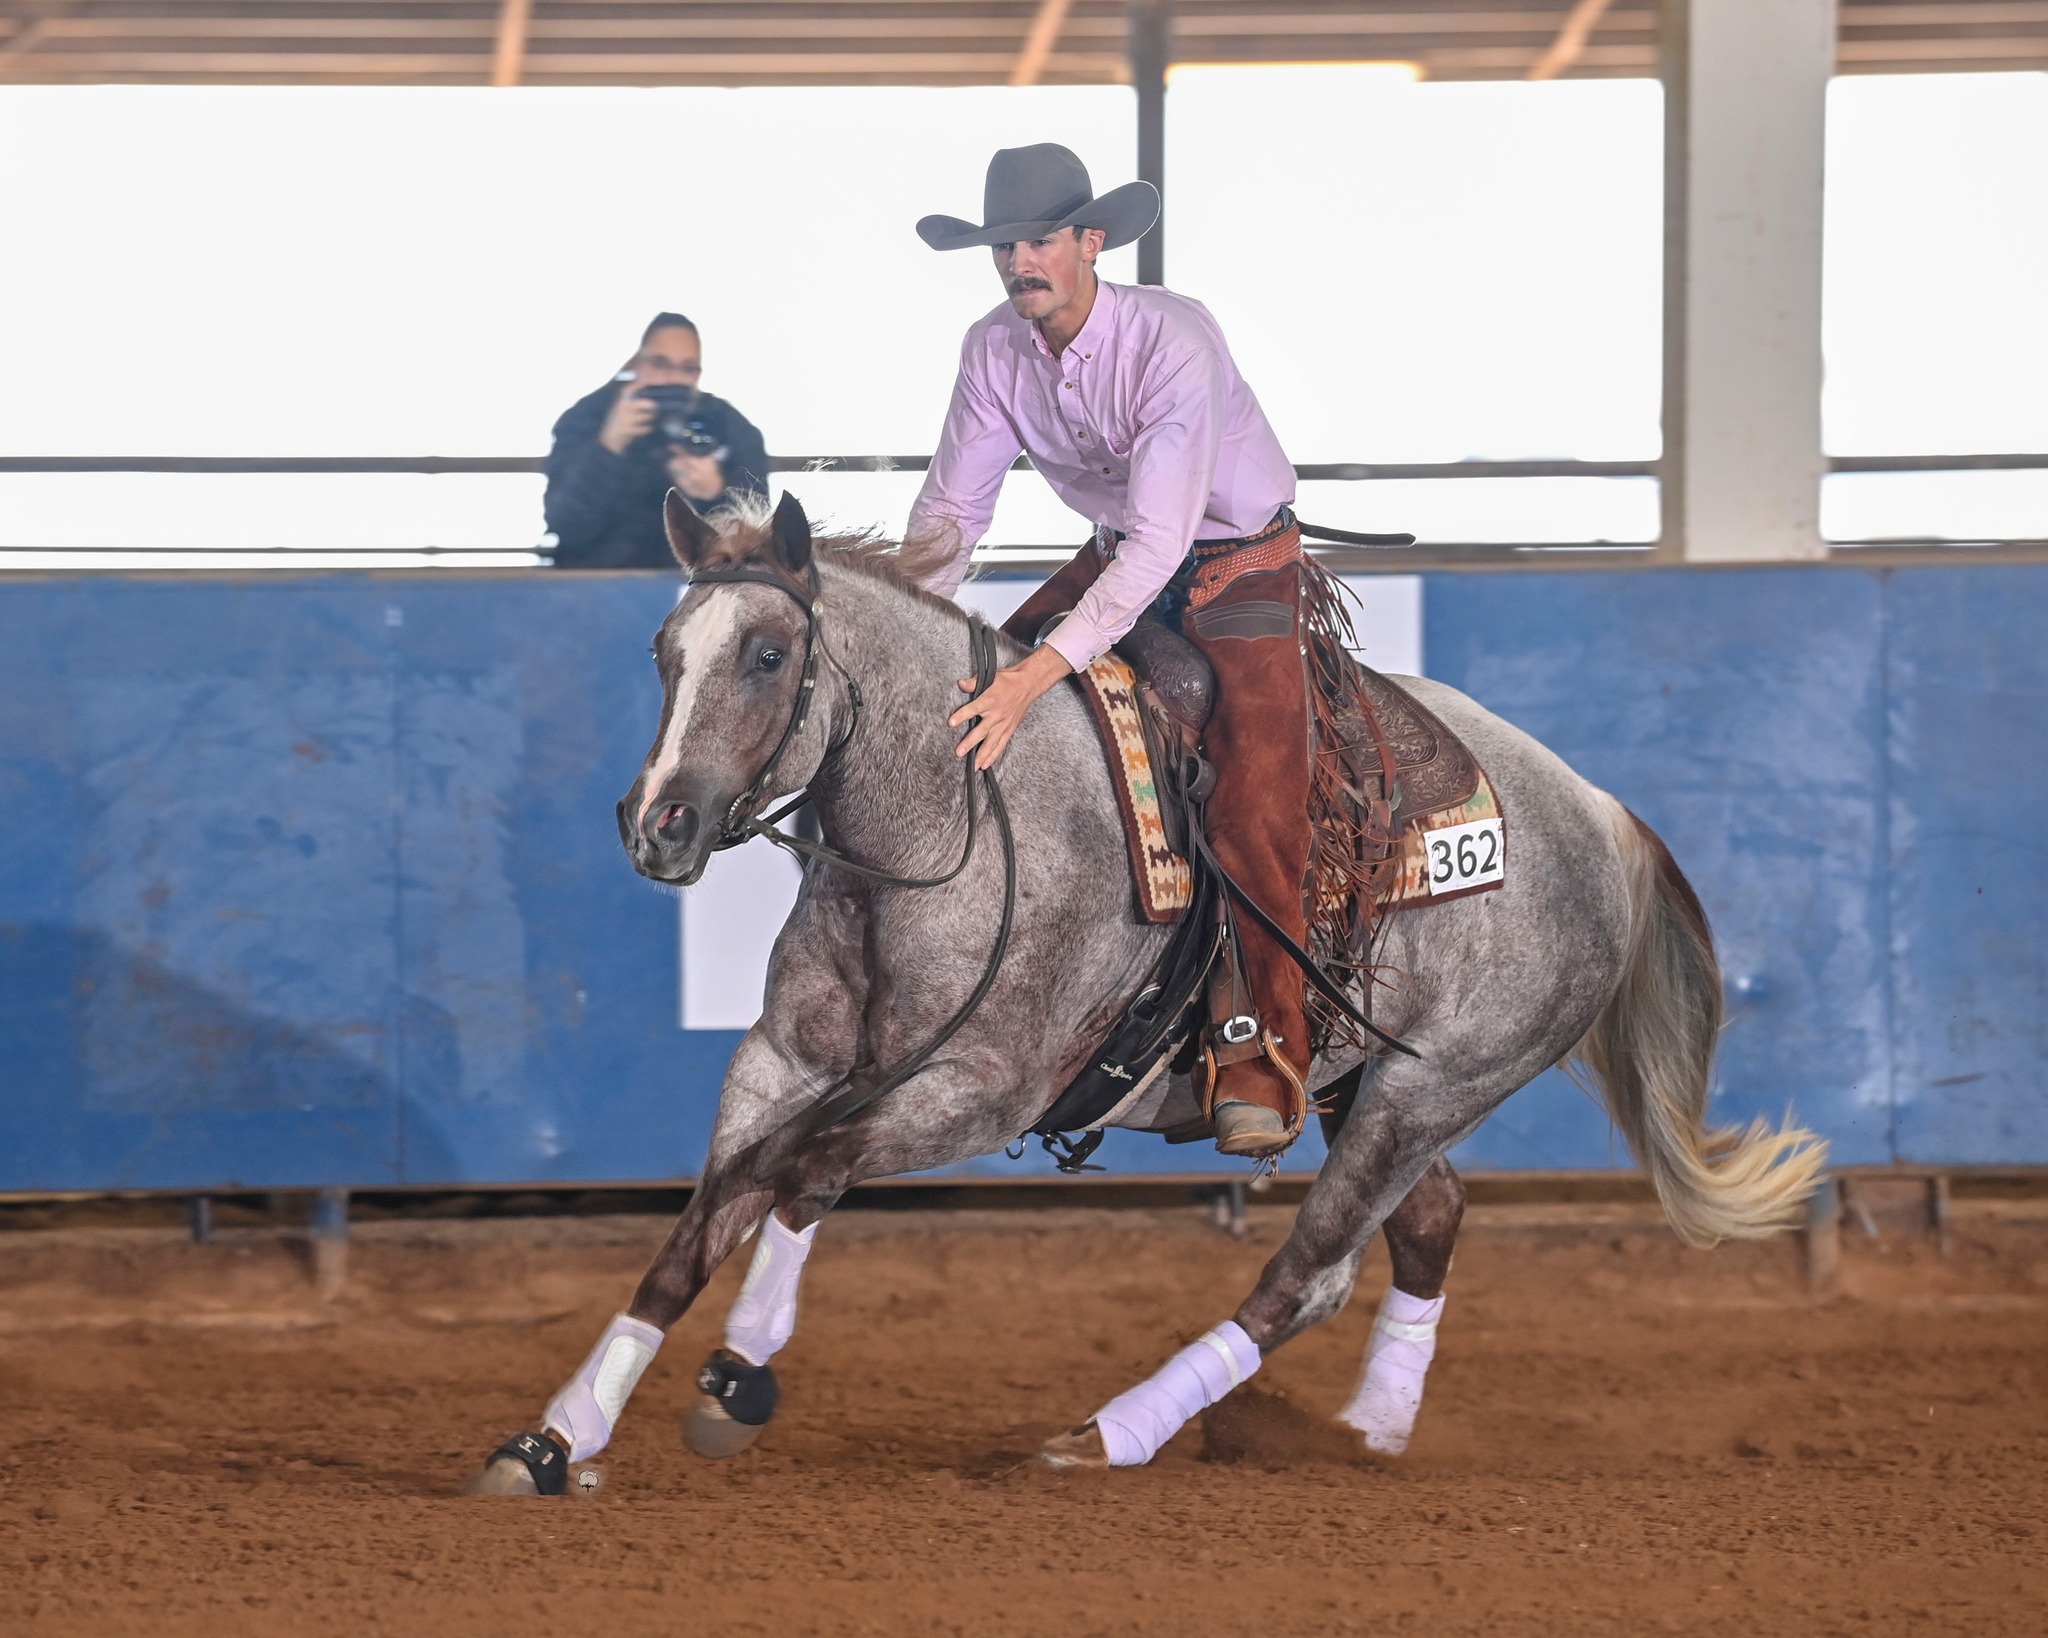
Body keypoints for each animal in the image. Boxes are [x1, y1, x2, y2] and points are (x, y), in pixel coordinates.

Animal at [473, 491, 1825, 1493]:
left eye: (765, 654)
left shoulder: (982, 1092)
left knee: (1306, 1273)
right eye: (664, 654)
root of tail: (1598, 813)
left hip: (1434, 1086)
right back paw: (1368, 1435)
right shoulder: (776, 1063)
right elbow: (704, 1219)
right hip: (1364, 1084)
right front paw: (555, 1437)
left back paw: (1109, 1433)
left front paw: (738, 1380)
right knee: (1422, 1227)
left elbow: (805, 1174)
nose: (657, 825)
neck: (956, 821)